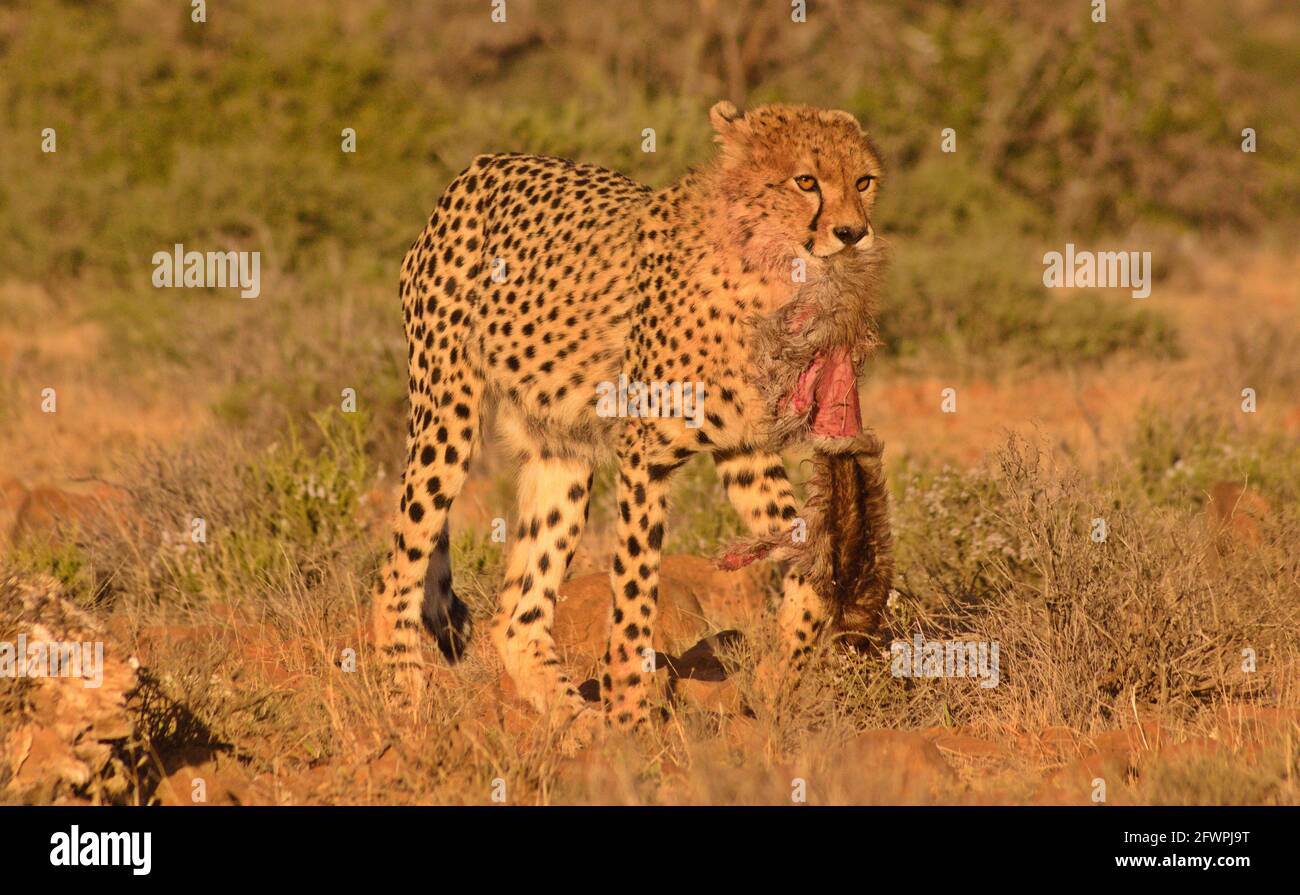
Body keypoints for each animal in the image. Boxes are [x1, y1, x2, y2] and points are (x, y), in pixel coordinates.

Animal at [372, 101, 887, 734]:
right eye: (806, 181)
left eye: (863, 181)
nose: (852, 233)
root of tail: (480, 165)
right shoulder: (645, 451)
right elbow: (637, 590)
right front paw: (633, 723)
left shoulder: (743, 447)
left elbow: (804, 553)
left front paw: (774, 683)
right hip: (448, 415)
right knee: (398, 569)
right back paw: (405, 704)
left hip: (561, 450)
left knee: (517, 616)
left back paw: (576, 724)